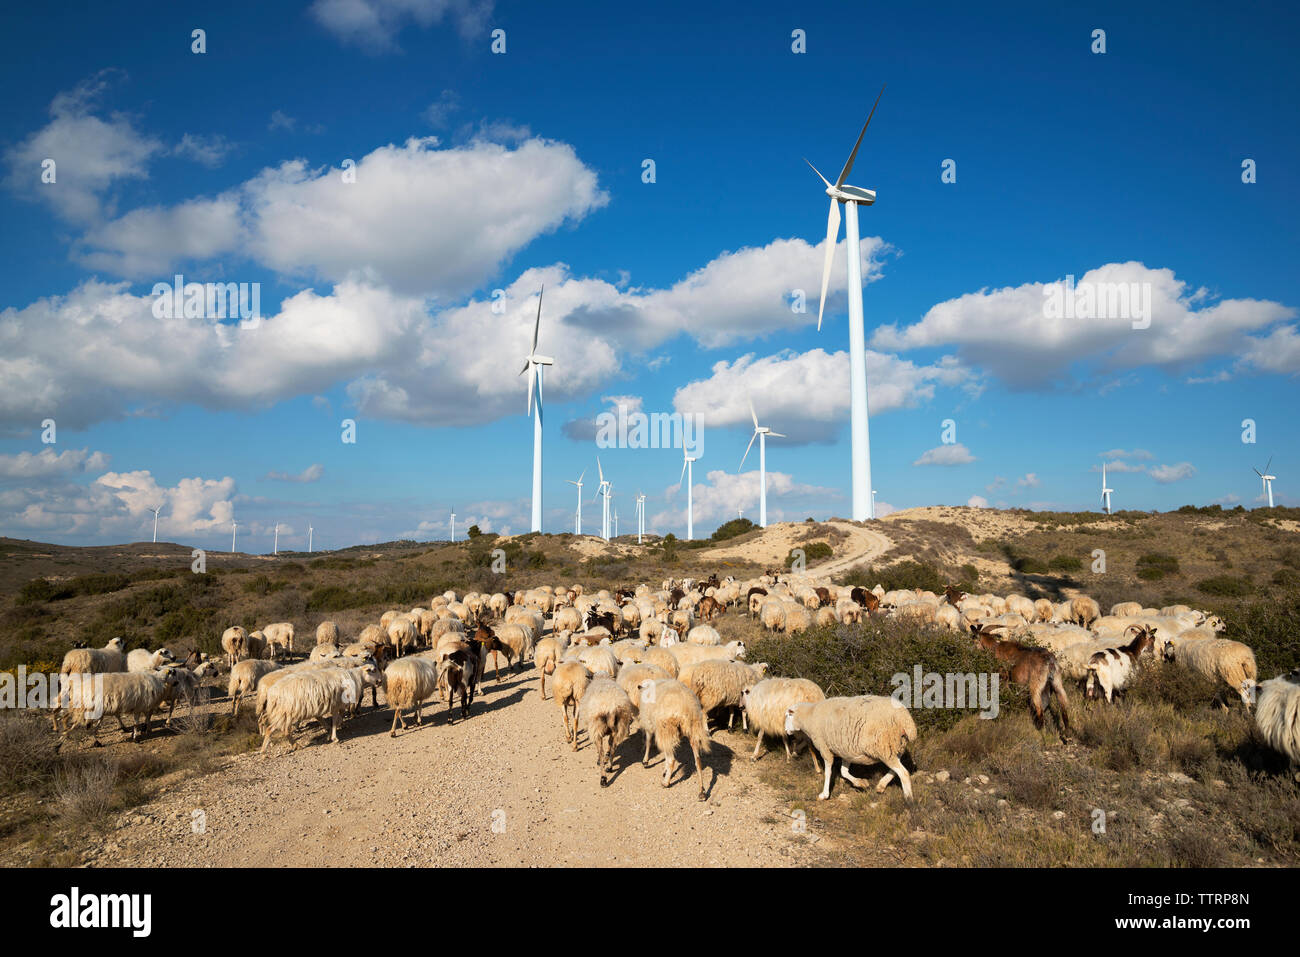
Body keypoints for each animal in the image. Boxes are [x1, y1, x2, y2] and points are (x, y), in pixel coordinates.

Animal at [784, 695, 917, 801]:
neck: (809, 717)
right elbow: (844, 772)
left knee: (904, 773)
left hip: (883, 746)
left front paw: (824, 795)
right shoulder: (845, 751)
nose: (786, 731)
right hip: (894, 747)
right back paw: (881, 786)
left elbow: (828, 772)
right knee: (896, 769)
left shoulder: (824, 747)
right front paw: (861, 783)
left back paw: (909, 800)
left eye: (788, 716)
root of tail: (905, 720)